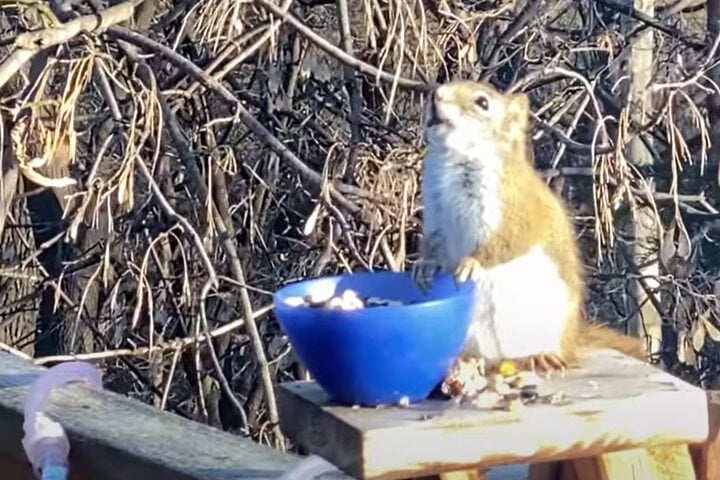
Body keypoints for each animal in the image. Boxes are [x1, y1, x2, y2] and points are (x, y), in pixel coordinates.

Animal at [411, 80, 645, 373]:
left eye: (482, 103)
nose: (436, 96)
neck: (453, 161)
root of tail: (572, 339)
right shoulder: (436, 213)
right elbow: (433, 242)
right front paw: (425, 265)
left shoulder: (515, 208)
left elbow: (507, 241)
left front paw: (473, 262)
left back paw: (540, 357)